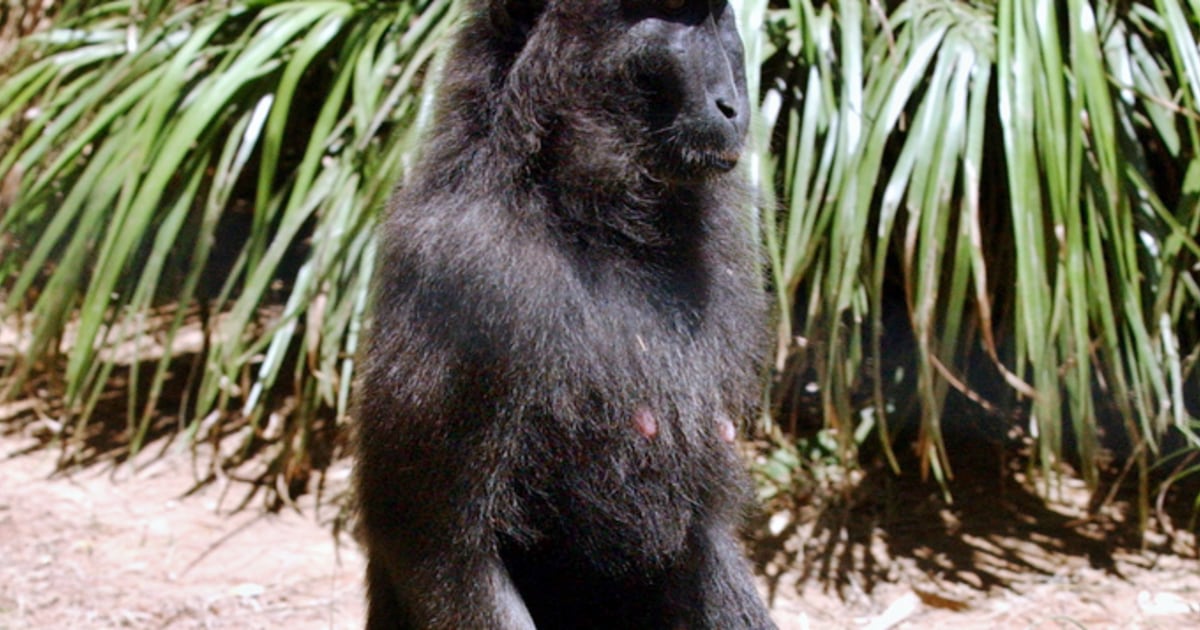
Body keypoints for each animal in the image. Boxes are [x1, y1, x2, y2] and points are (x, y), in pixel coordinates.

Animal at [353, 0, 775, 627]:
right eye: (671, 16)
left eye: (716, 20)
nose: (732, 106)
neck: (582, 220)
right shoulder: (464, 271)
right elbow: (442, 547)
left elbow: (703, 538)